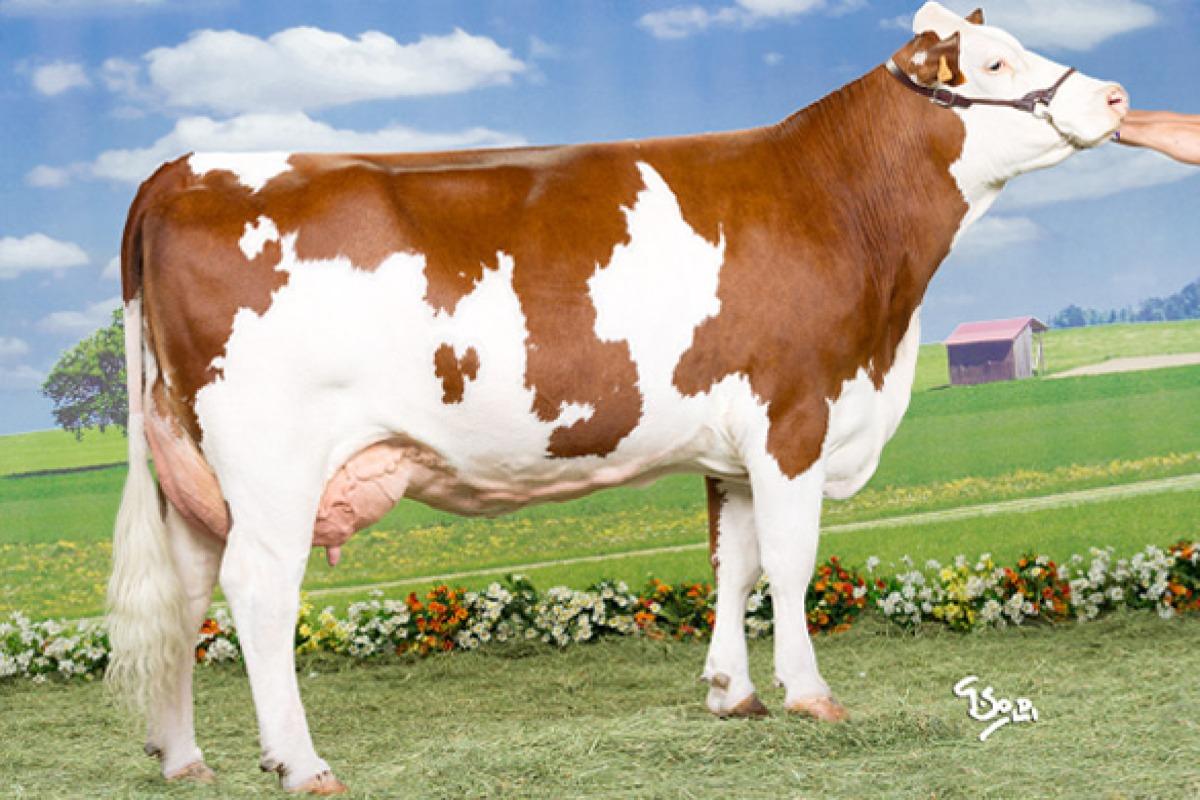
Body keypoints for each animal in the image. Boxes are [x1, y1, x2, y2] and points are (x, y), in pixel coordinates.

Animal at [106, 3, 1128, 793]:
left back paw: (184, 758)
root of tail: (181, 168)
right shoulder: (793, 416)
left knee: (188, 596)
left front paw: (733, 694)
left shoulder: (734, 444)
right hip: (272, 461)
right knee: (258, 592)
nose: (1116, 97)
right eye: (995, 62)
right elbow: (790, 564)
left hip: (192, 469)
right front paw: (810, 695)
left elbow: (733, 564)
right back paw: (301, 763)